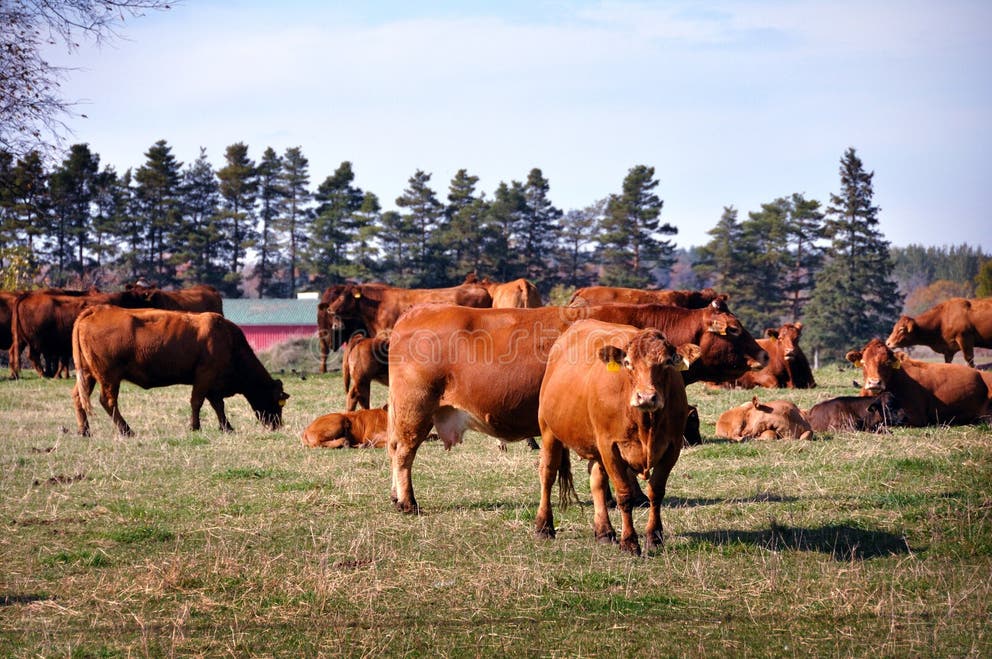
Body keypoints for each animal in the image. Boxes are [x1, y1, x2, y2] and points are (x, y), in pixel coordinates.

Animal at [72, 305, 289, 436]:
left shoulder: (212, 384)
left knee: (78, 398)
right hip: (109, 377)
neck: (228, 340)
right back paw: (127, 430)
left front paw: (226, 427)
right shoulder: (205, 377)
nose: (277, 425)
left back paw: (85, 431)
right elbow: (197, 402)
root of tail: (97, 309)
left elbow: (218, 405)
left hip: (87, 375)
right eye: (277, 400)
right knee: (108, 402)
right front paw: (195, 427)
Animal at [386, 300, 767, 513]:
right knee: (404, 453)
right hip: (415, 409)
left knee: (393, 450)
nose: (764, 354)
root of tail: (414, 313)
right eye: (734, 330)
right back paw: (408, 502)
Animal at [533, 321, 699, 555]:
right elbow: (624, 494)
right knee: (547, 473)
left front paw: (654, 537)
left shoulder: (672, 447)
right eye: (628, 363)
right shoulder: (609, 446)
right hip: (549, 430)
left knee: (597, 481)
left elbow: (656, 492)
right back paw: (544, 527)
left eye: (667, 362)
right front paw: (629, 542)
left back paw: (604, 531)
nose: (646, 397)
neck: (645, 423)